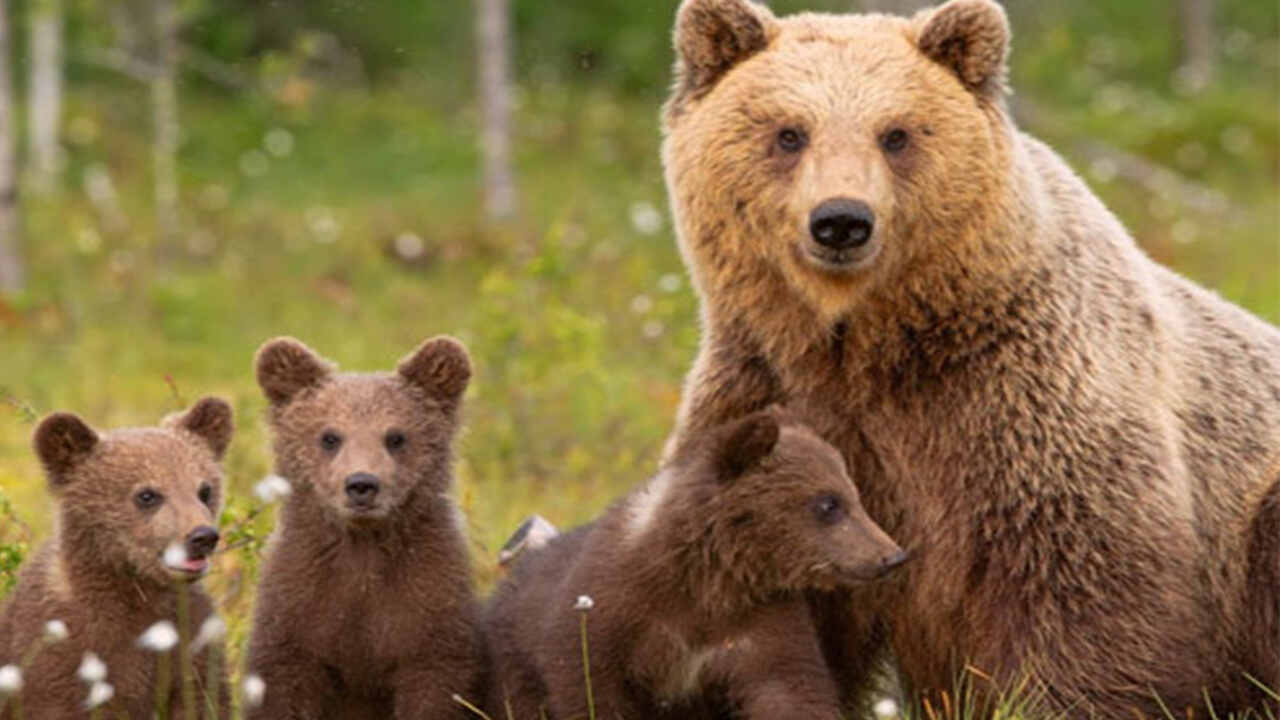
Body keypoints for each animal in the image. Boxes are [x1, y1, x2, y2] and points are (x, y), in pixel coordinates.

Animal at [0, 398, 233, 719]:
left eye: (205, 490)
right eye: (147, 495)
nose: (202, 537)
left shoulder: (191, 646)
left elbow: (203, 701)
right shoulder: (57, 655)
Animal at [245, 336, 484, 720]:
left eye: (396, 436)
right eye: (330, 436)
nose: (361, 484)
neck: (363, 545)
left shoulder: (426, 611)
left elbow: (435, 687)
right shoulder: (298, 611)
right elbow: (285, 687)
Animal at [484, 407, 907, 720]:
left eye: (855, 495)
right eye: (828, 503)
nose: (892, 555)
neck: (708, 578)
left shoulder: (759, 624)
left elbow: (791, 687)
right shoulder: (610, 613)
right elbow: (587, 686)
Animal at [659, 0, 1280, 716]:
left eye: (896, 134)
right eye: (790, 133)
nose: (841, 220)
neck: (866, 348)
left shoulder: (1026, 410)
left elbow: (1083, 601)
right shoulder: (770, 398)